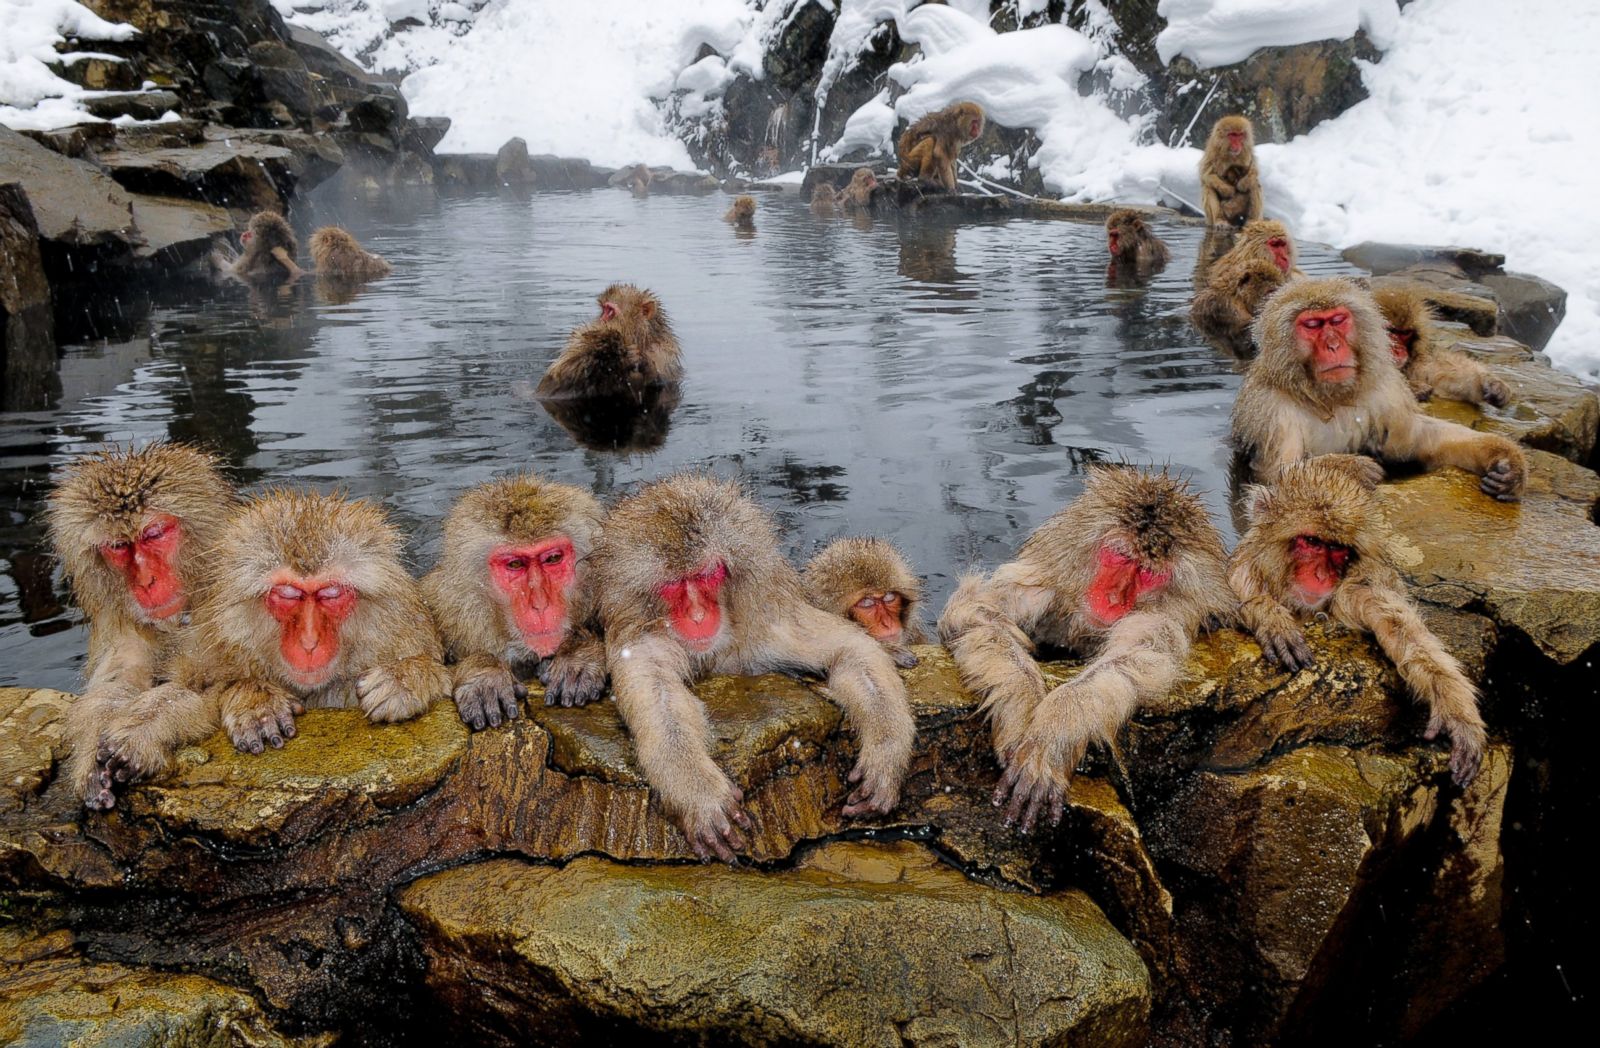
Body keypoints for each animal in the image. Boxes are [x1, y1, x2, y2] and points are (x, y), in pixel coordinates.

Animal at [46, 443, 238, 809]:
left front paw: (144, 727)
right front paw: (90, 757)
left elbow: (214, 683)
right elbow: (120, 681)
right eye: (119, 546)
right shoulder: (120, 615)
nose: (147, 581)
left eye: (154, 534)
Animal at [535, 284, 683, 400]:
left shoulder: (663, 354)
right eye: (603, 310)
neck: (639, 340)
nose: (600, 320)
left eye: (610, 311)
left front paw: (644, 362)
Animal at [938, 466, 1231, 833]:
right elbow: (978, 611)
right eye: (1121, 556)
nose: (1114, 599)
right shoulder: (1049, 582)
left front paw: (1056, 730)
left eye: (1147, 574)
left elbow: (1139, 657)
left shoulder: (1168, 614)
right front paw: (1021, 705)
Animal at [1229, 457, 1487, 785]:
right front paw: (1270, 618)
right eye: (1311, 541)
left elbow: (1402, 630)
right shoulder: (1245, 573)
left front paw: (1457, 710)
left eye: (1337, 549)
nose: (1322, 576)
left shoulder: (1355, 591)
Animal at [1373, 284, 1511, 408]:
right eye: (1390, 331)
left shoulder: (1414, 363)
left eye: (1405, 333)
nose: (1398, 349)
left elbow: (1439, 373)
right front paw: (1414, 388)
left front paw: (1488, 382)